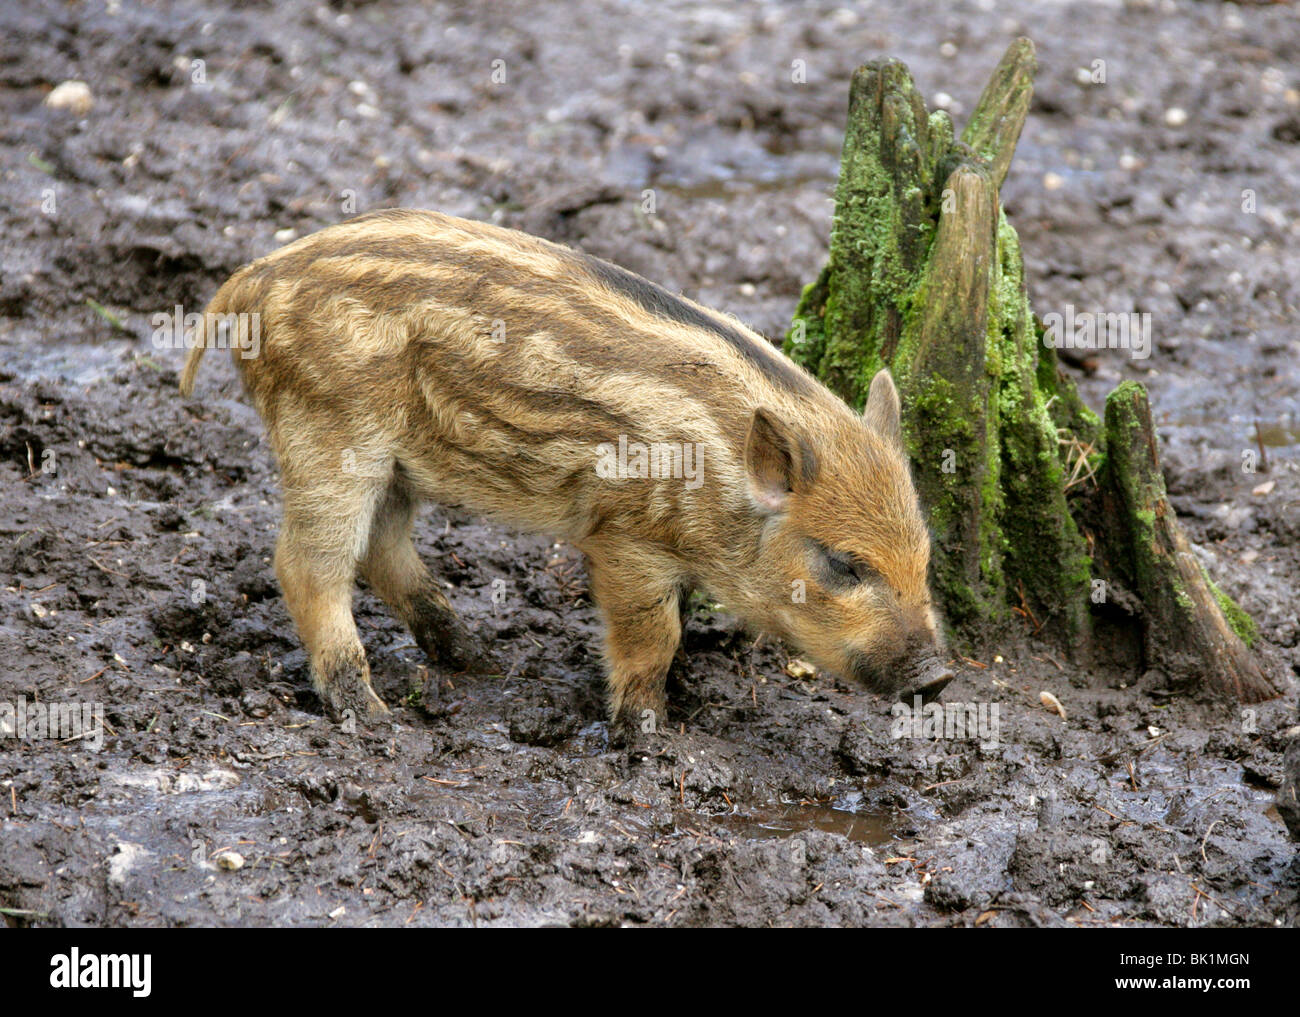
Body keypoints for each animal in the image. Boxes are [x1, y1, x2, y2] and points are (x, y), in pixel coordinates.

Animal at [179, 208, 953, 734]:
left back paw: (479, 659)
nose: (942, 675)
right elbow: (653, 635)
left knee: (383, 549)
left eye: (925, 558)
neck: (718, 481)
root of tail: (252, 278)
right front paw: (648, 733)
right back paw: (369, 713)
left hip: (393, 461)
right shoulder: (625, 539)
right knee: (307, 563)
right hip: (330, 434)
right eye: (844, 565)